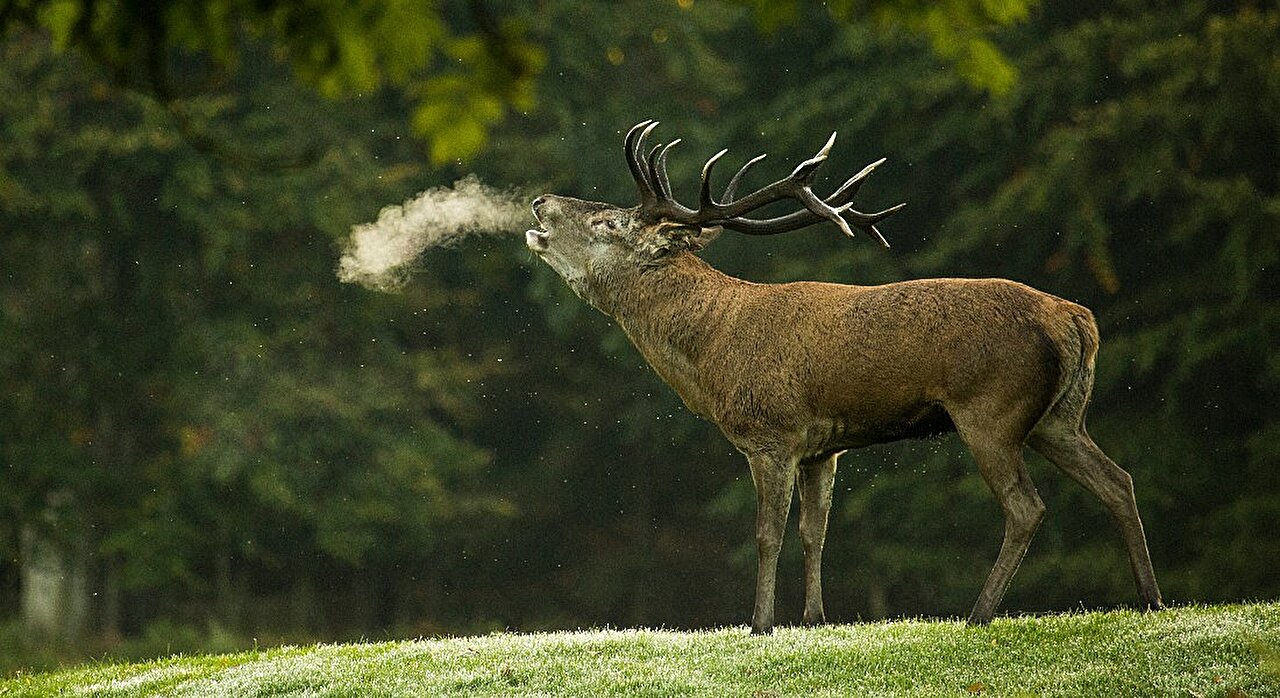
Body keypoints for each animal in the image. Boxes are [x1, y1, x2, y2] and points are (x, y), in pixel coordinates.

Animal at [525, 120, 1164, 635]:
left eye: (609, 222)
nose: (538, 203)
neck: (712, 355)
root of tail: (1078, 320)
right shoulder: (822, 447)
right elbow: (816, 530)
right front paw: (814, 618)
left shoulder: (772, 434)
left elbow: (767, 534)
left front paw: (760, 624)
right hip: (1059, 417)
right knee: (1118, 479)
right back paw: (1151, 600)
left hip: (992, 409)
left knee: (1026, 507)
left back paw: (978, 614)